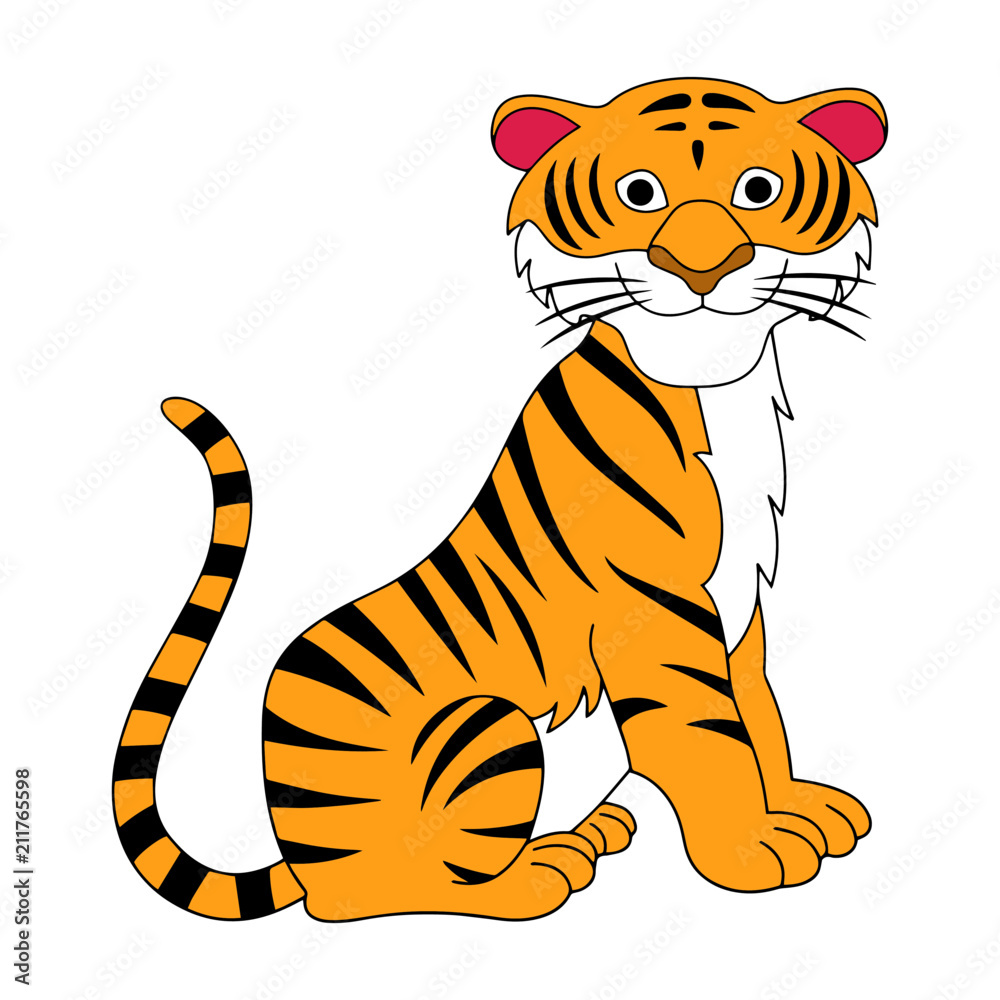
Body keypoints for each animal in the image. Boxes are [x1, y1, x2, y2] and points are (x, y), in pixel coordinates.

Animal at [113, 77, 887, 923]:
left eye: (758, 189)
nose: (702, 267)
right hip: (488, 725)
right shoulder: (654, 604)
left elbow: (758, 708)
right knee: (377, 892)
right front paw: (750, 852)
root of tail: (295, 854)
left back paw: (589, 833)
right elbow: (708, 731)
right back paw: (539, 875)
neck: (713, 373)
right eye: (639, 193)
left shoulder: (737, 602)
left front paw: (799, 808)